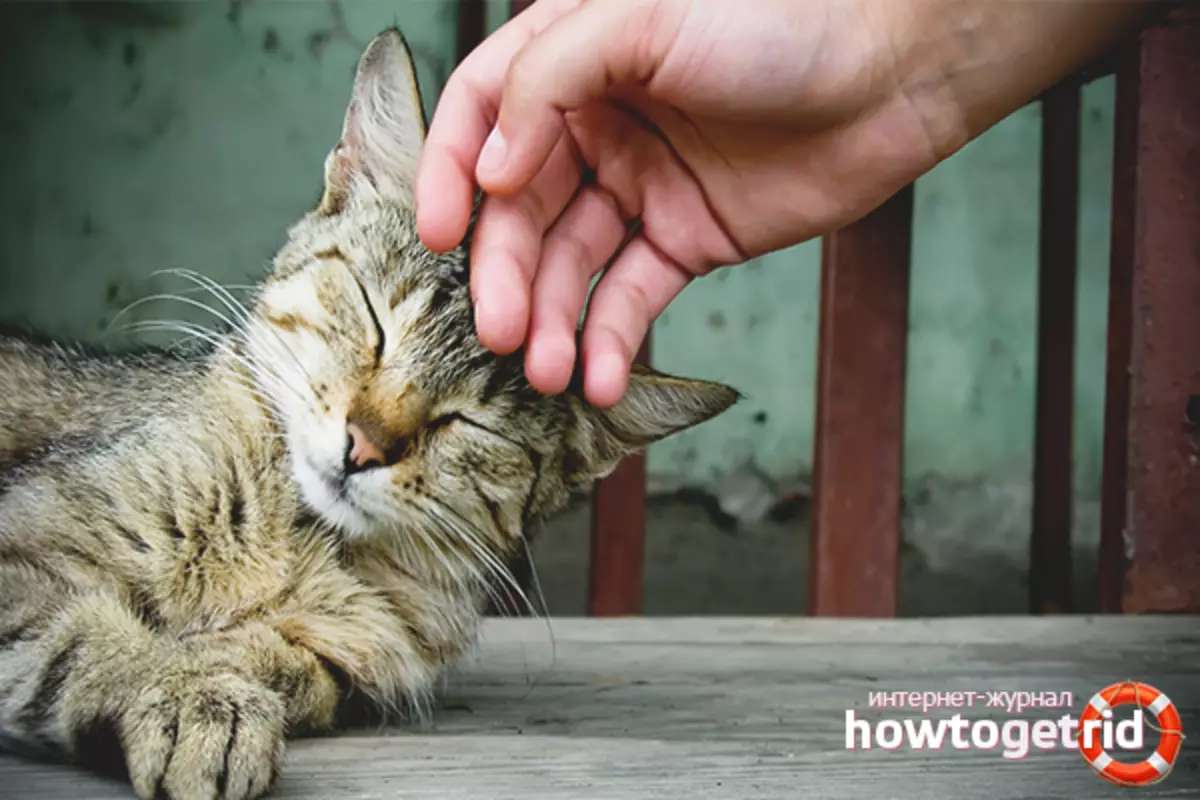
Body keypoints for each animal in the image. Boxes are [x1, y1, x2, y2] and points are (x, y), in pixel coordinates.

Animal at [0, 25, 739, 800]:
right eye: (377, 322)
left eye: (465, 421)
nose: (364, 445)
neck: (305, 543)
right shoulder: (21, 547)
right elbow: (83, 638)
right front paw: (190, 694)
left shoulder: (360, 656)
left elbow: (307, 671)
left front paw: (233, 666)